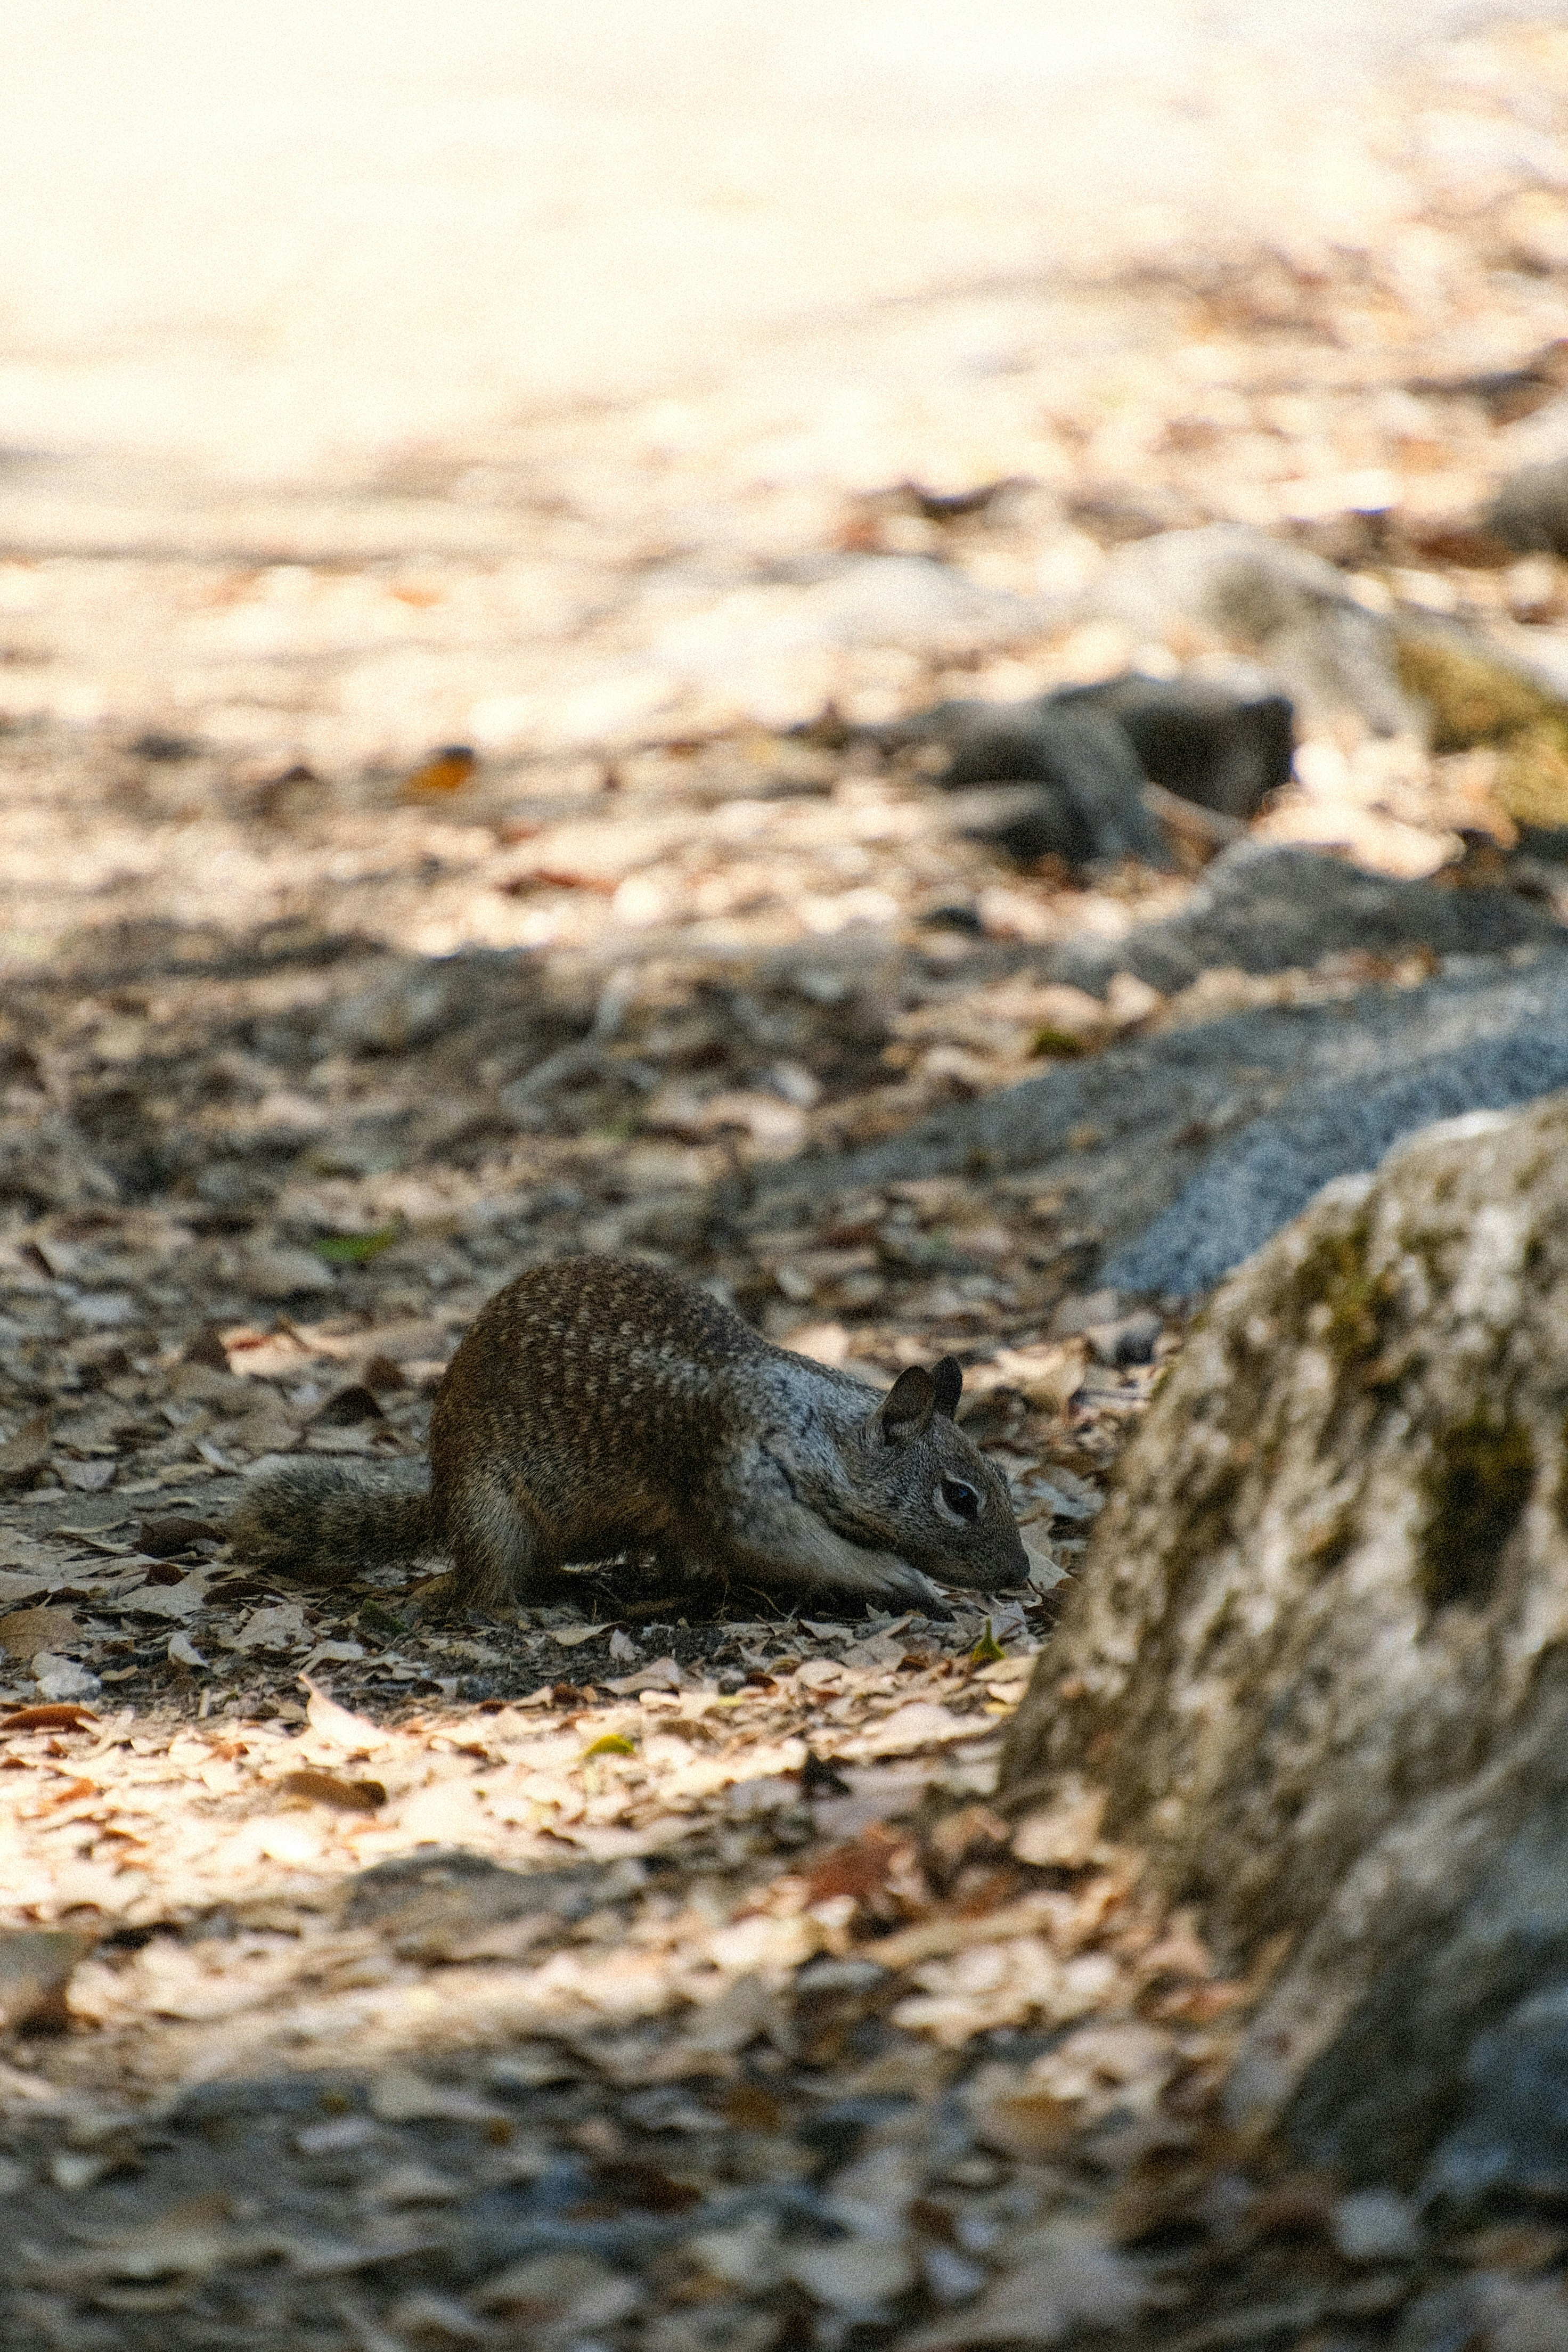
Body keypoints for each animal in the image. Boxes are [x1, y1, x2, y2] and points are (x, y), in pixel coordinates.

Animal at [226, 1254, 1031, 1614]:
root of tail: (439, 1490)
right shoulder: (736, 1473)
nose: (1022, 1574)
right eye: (961, 1498)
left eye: (1005, 1481)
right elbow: (787, 1545)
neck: (818, 1428)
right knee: (485, 1581)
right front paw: (897, 1578)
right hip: (491, 1512)